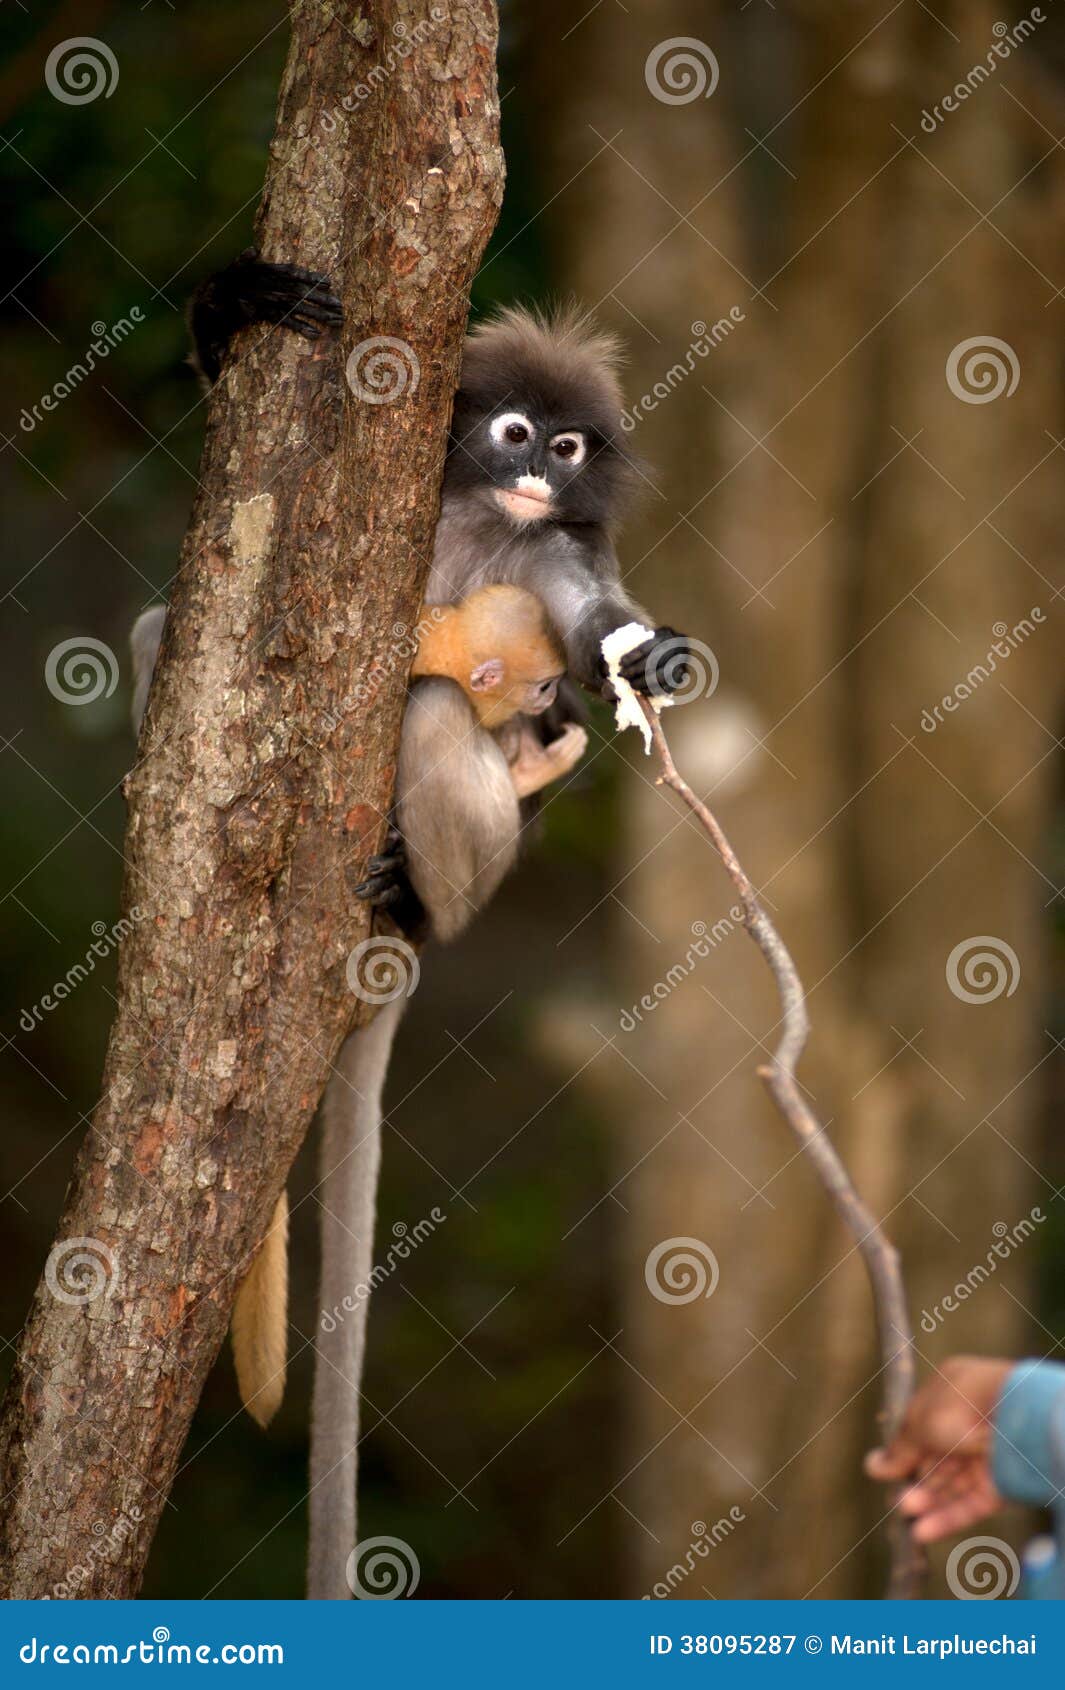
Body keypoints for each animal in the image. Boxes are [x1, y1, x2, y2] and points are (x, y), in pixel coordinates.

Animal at [131, 259, 693, 1598]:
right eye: (516, 431)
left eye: (572, 444)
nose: (544, 468)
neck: (487, 512)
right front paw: (236, 307)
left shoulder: (560, 557)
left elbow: (589, 619)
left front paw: (642, 652)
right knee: (159, 630)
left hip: (469, 848)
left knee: (439, 710)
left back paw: (414, 895)